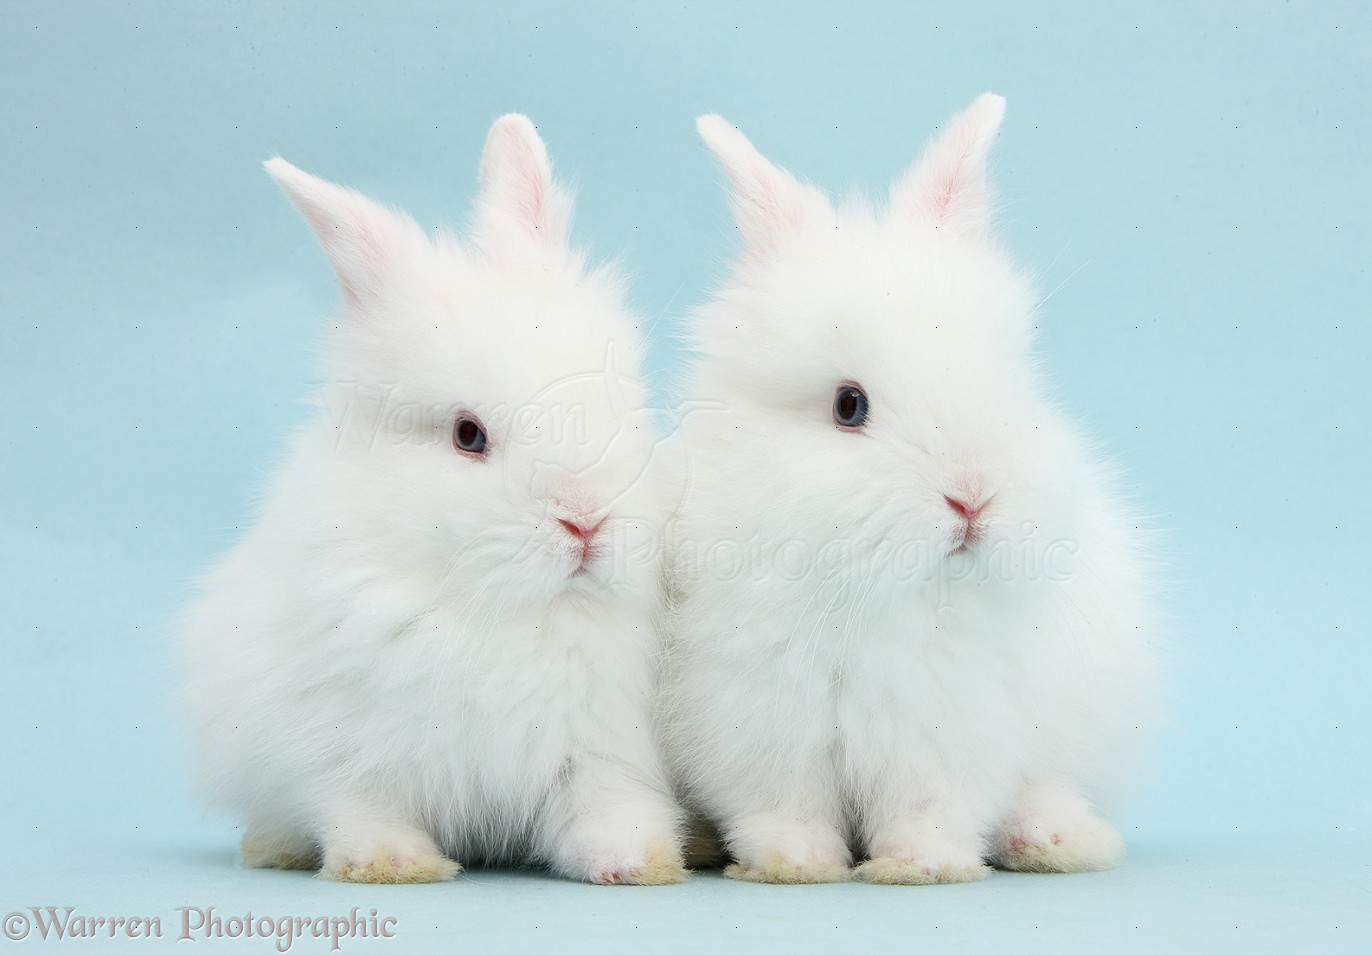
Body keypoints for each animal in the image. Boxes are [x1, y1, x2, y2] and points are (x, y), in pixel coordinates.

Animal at [180, 115, 687, 885]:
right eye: (467, 435)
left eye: (621, 407)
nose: (586, 521)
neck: (509, 611)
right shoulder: (337, 740)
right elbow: (356, 800)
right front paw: (392, 862)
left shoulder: (603, 747)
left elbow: (604, 804)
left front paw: (638, 861)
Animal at [662, 94, 1160, 885]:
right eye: (849, 405)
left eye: (1006, 380)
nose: (972, 499)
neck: (885, 595)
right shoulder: (757, 715)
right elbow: (782, 806)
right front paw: (793, 863)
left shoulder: (949, 731)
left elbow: (932, 805)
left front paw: (920, 865)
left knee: (1049, 788)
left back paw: (1058, 840)